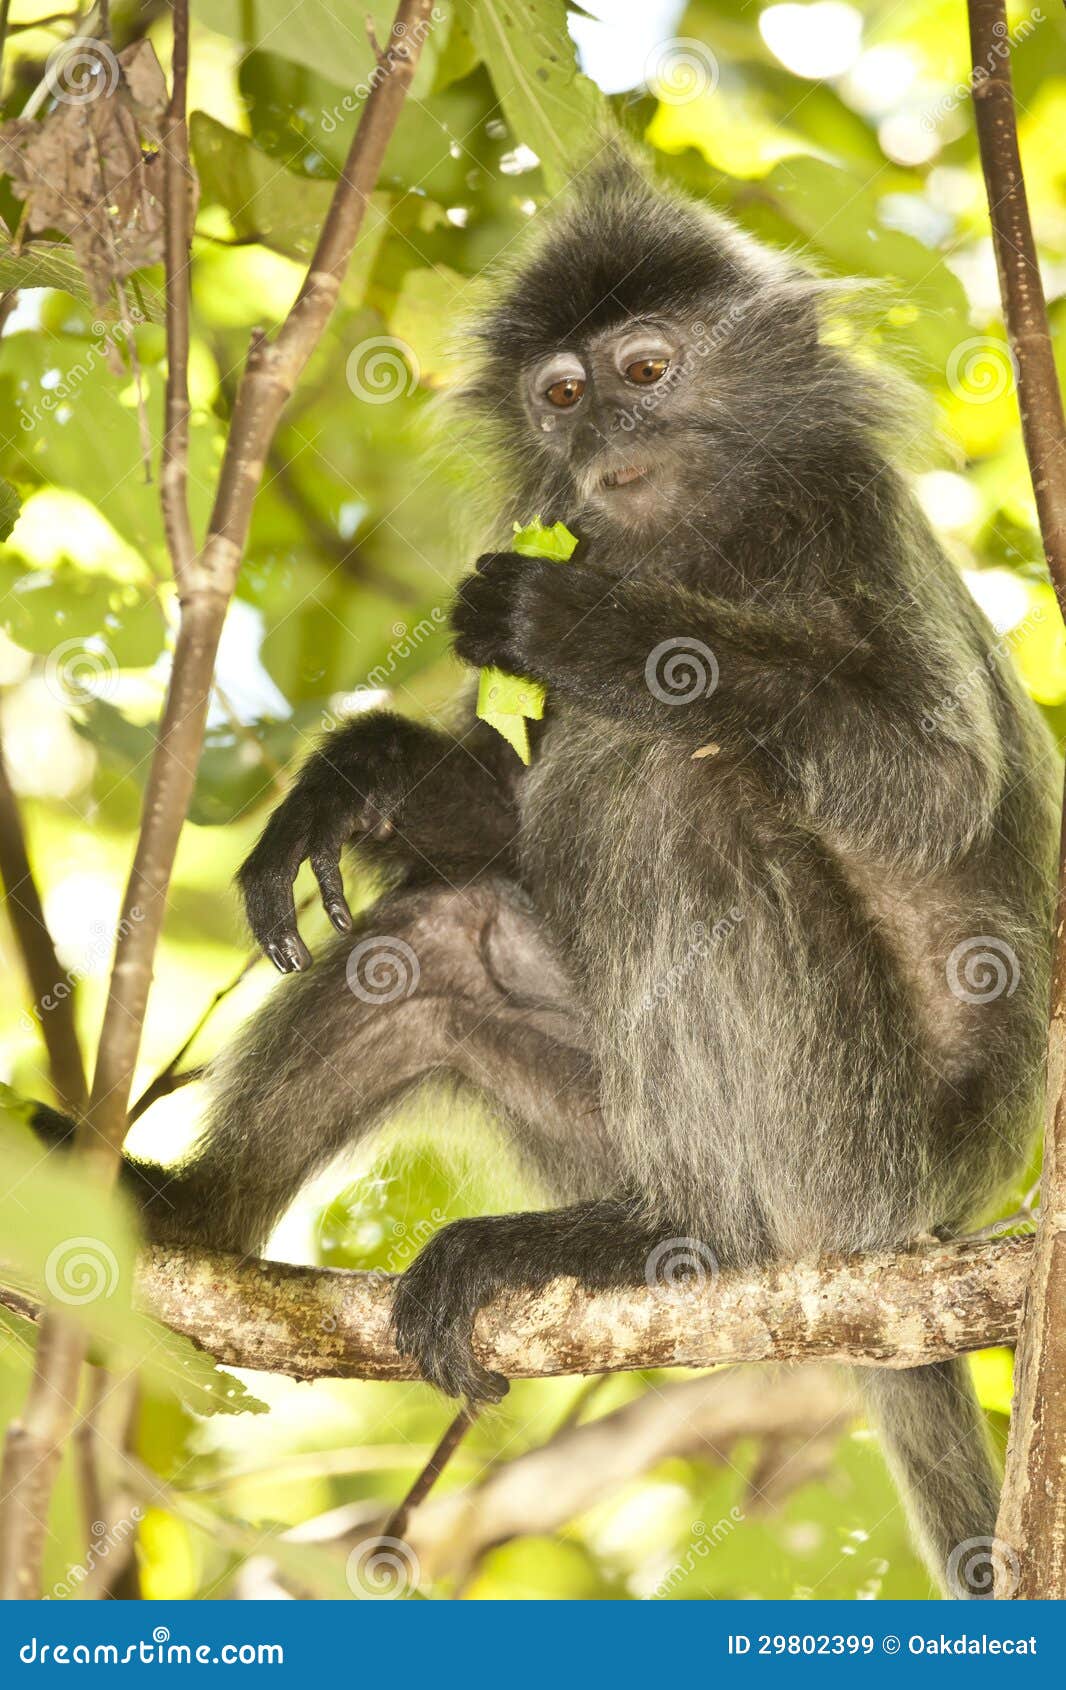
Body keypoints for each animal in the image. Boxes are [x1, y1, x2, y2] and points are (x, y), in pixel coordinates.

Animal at [119, 156, 1058, 1597]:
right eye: (561, 394)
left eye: (647, 367)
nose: (605, 432)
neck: (695, 540)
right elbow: (495, 826)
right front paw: (355, 777)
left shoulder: (846, 508)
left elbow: (932, 783)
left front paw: (588, 630)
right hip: (594, 1102)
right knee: (443, 939)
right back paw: (186, 1213)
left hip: (851, 1149)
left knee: (671, 778)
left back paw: (687, 1237)